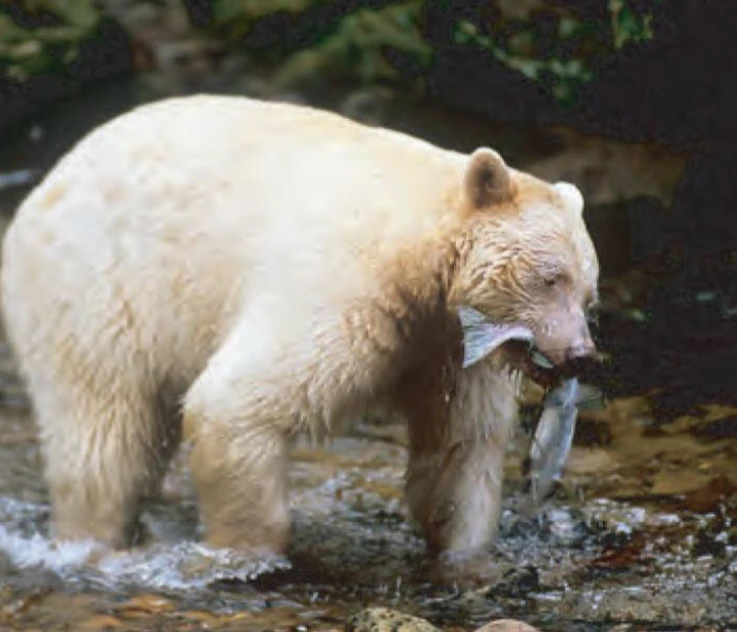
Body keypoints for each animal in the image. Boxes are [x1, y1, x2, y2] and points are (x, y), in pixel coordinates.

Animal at [0, 95, 599, 556]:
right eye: (550, 278)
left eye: (588, 293)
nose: (580, 355)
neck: (413, 247)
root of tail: (41, 191)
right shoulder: (346, 290)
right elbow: (234, 403)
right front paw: (247, 552)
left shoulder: (449, 347)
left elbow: (459, 449)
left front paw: (462, 555)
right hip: (97, 290)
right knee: (103, 436)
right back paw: (93, 538)